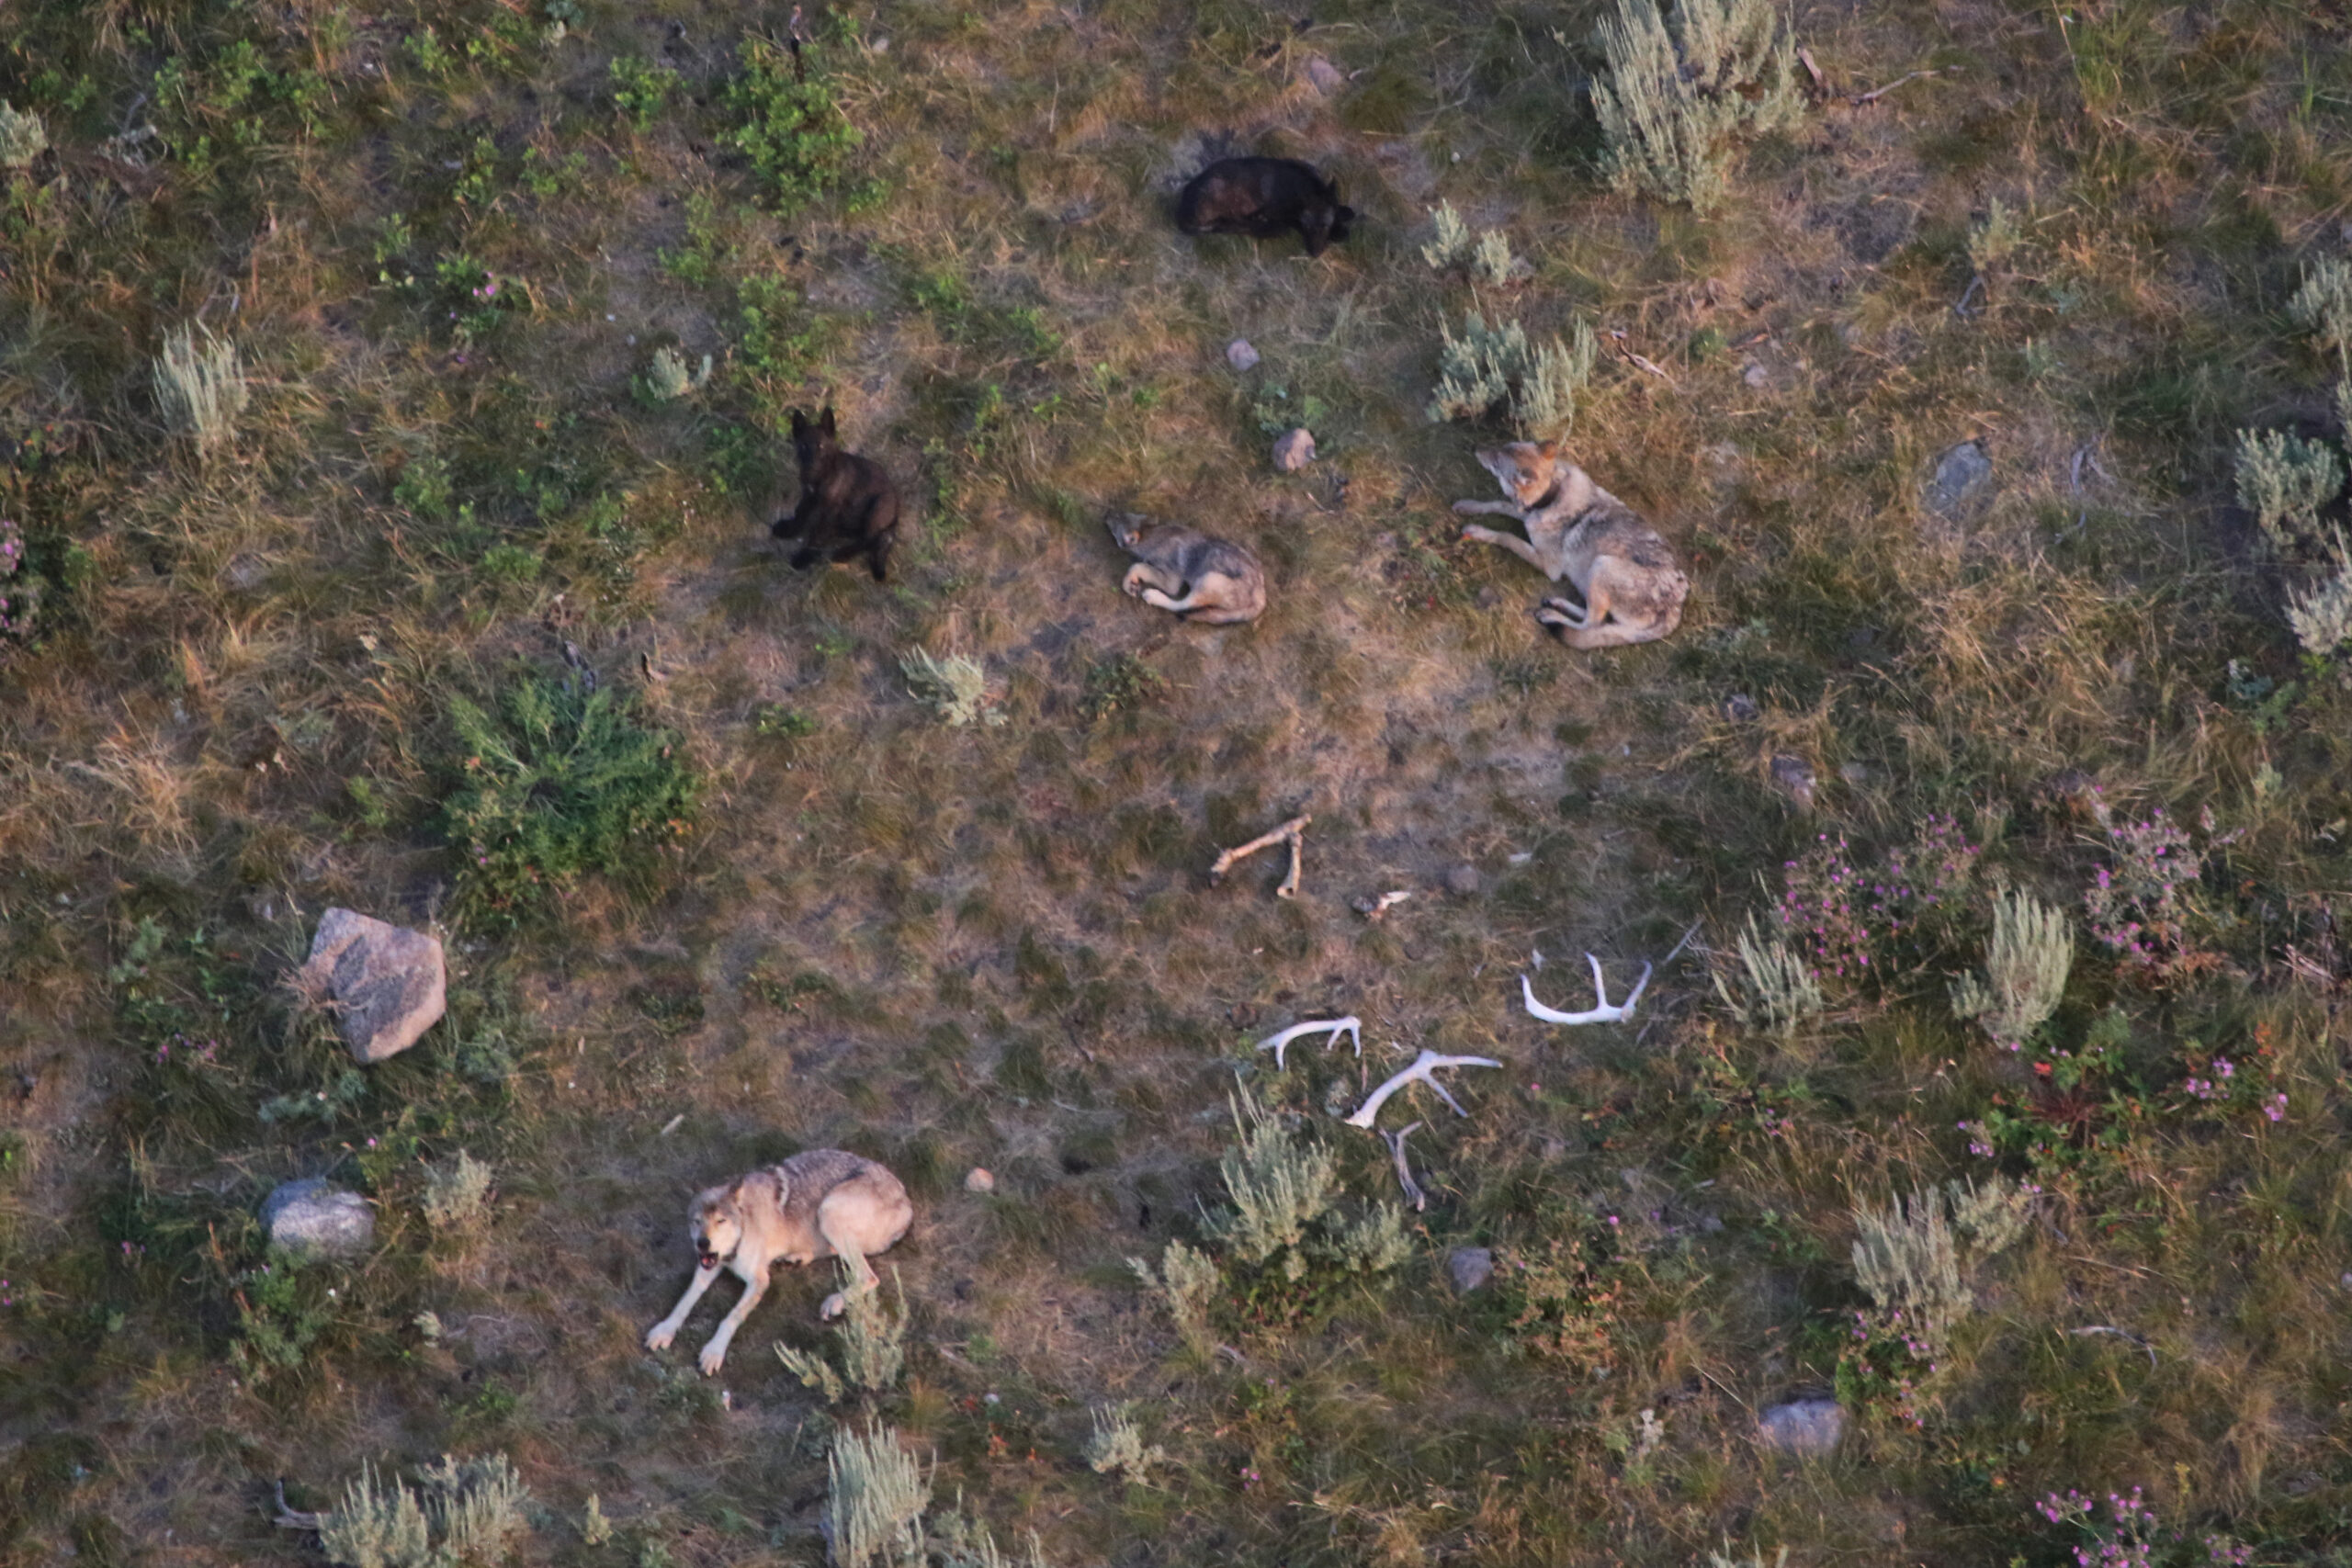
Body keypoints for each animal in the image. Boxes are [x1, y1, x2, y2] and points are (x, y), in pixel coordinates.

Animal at [644, 1148, 914, 1376]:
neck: (743, 1229)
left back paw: (835, 1300)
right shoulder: (708, 1265)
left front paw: (714, 1351)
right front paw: (664, 1330)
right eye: (696, 1221)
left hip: (828, 1210)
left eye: (720, 1220)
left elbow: (730, 1317)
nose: (702, 1243)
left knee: (869, 1276)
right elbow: (684, 1302)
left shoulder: (759, 1280)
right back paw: (795, 1258)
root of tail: (907, 1202)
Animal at [771, 407, 901, 584]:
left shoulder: (830, 509)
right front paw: (788, 530)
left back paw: (842, 553)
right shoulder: (808, 496)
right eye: (803, 446)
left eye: (821, 446)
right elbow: (800, 515)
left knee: (869, 539)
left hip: (877, 508)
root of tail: (896, 512)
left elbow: (817, 535)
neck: (824, 475)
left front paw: (804, 556)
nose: (810, 470)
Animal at [1107, 513, 1268, 625]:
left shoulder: (1171, 580)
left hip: (1209, 580)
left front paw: (1129, 584)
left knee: (1184, 604)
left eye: (1115, 523)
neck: (1150, 534)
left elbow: (1137, 566)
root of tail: (1260, 597)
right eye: (1121, 513)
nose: (1107, 514)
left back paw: (1153, 596)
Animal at [1175, 157, 1356, 257]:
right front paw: (1340, 231)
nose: (1315, 254)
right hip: (1221, 192)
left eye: (1325, 226)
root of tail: (1181, 210)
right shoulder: (1283, 215)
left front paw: (1343, 215)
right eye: (1307, 227)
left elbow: (1344, 210)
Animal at [1452, 441, 1689, 649]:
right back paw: (1556, 603)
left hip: (1602, 565)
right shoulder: (1525, 515)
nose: (1476, 448)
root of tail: (1676, 609)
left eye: (1496, 461)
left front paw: (1477, 532)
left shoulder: (1548, 566)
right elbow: (1498, 504)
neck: (1552, 494)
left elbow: (1506, 537)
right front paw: (1467, 506)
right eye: (1500, 447)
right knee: (1594, 619)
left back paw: (1551, 616)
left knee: (1591, 624)